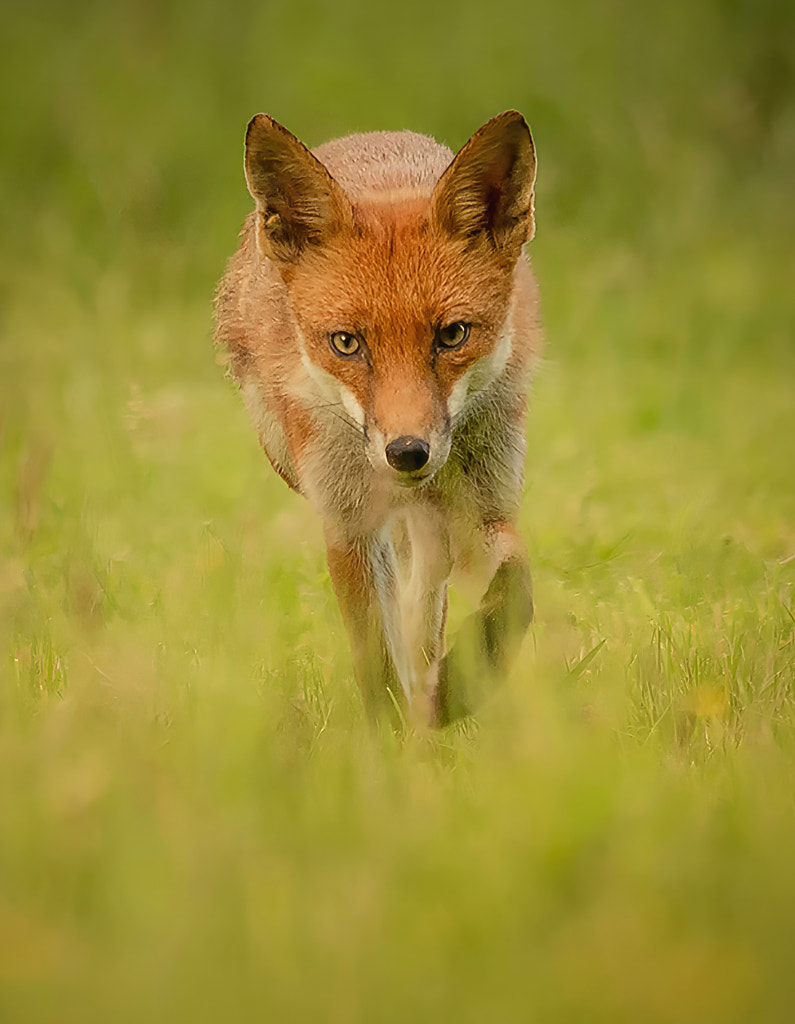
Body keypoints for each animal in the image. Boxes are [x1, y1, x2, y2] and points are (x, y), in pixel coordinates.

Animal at [214, 110, 542, 729]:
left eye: (452, 335)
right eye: (346, 343)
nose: (407, 452)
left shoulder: (484, 510)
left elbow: (514, 595)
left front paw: (458, 690)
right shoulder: (350, 525)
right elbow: (377, 667)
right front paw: (392, 743)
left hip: (436, 526)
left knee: (426, 599)